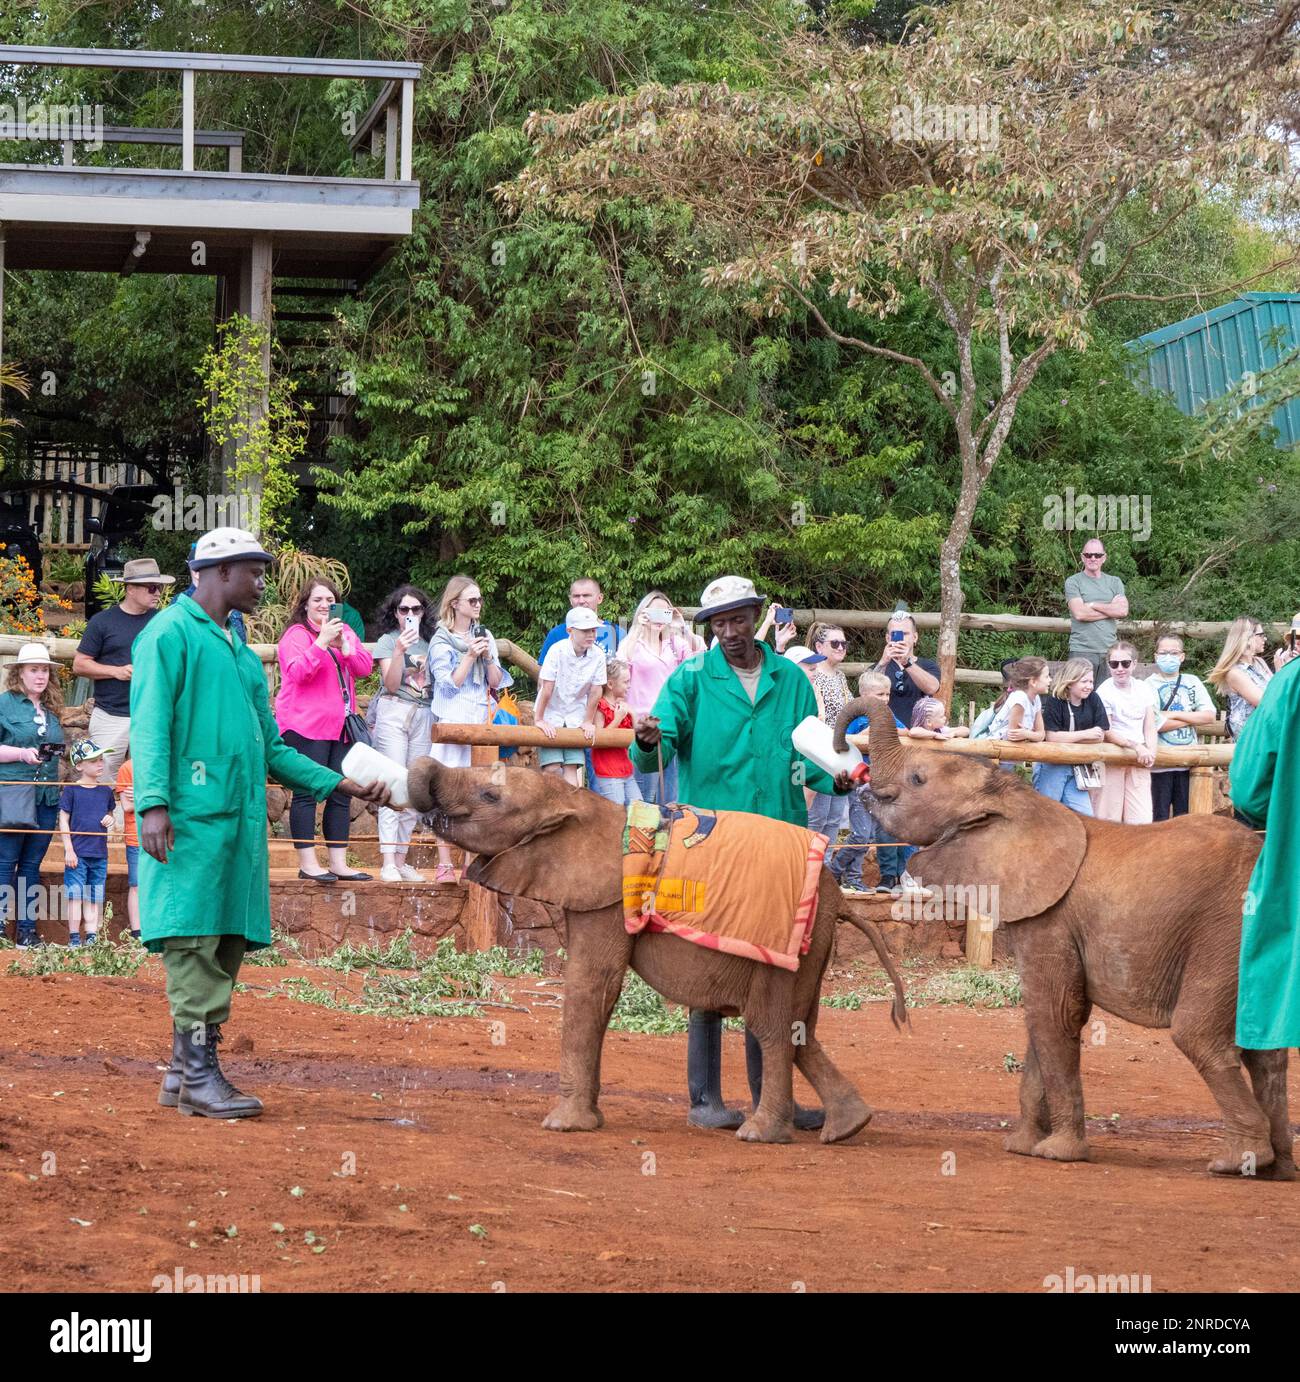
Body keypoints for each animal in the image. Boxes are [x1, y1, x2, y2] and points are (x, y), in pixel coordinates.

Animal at [407, 755, 909, 1144]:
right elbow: (598, 992)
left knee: (772, 1026)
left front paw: (564, 1127)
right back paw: (845, 1127)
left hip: (786, 941)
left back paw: (761, 1134)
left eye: (491, 797)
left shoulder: (607, 898)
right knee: (802, 1028)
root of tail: (842, 897)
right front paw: (588, 1121)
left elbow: (592, 985)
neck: (575, 800)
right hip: (815, 941)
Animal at [832, 693, 1293, 1180]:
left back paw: (1236, 1161)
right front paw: (1021, 1147)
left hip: (1228, 933)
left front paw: (1057, 1153)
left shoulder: (1052, 918)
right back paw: (1278, 1169)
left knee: (1199, 1035)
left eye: (917, 779)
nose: (846, 764)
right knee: (1265, 1050)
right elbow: (1042, 1020)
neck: (1015, 799)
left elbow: (1054, 1014)